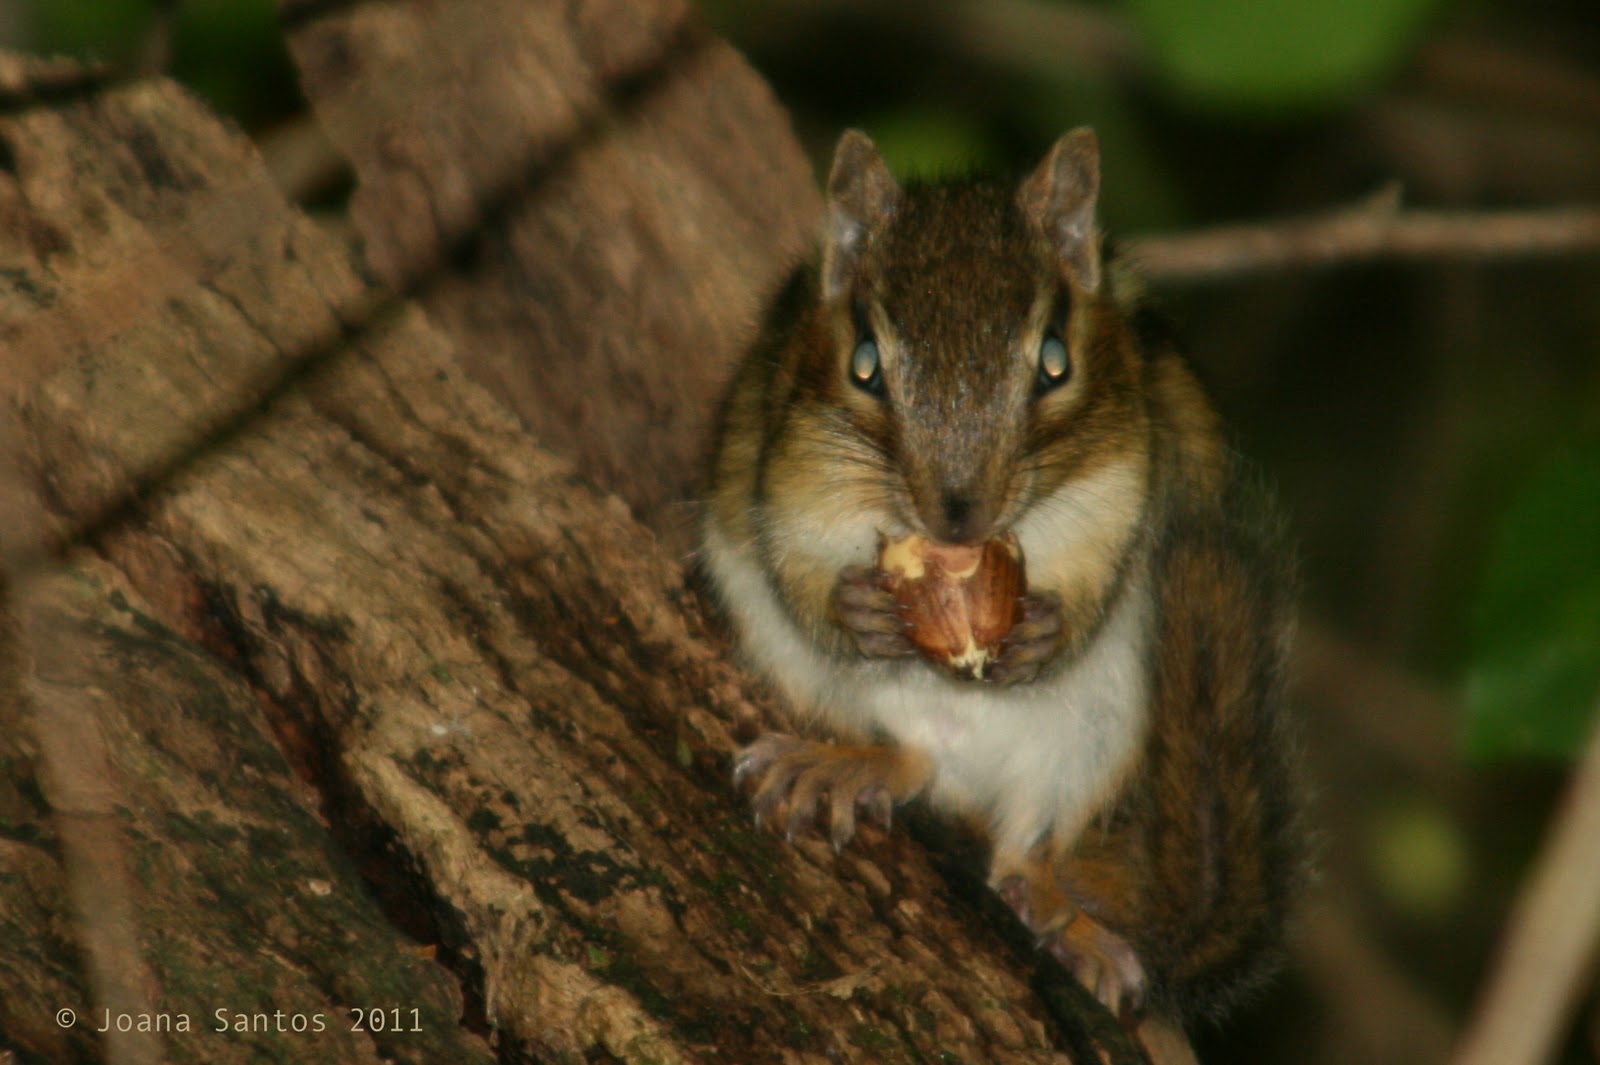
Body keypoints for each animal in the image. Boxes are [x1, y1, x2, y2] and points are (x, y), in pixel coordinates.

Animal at [701, 127, 1302, 1028]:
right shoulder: (790, 472)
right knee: (908, 758)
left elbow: (1099, 576)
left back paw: (1061, 914)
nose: (959, 516)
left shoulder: (1121, 484)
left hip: (1103, 726)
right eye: (865, 361)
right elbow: (795, 568)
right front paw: (854, 610)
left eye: (1054, 360)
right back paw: (847, 764)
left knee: (1025, 848)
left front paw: (1045, 630)